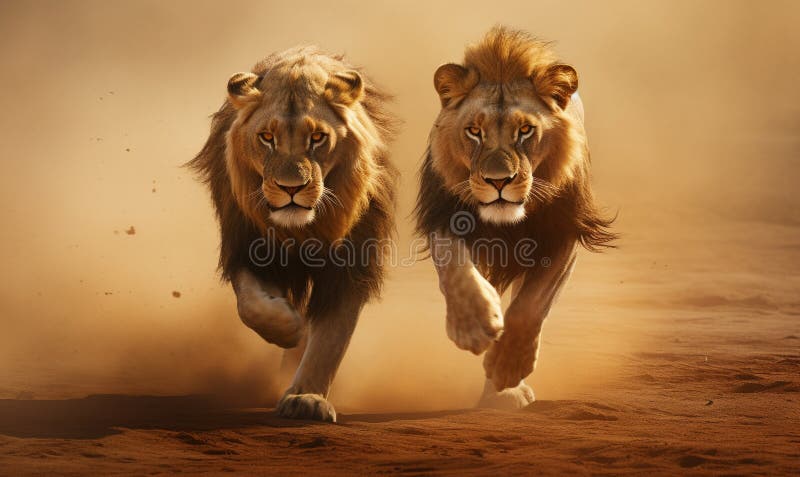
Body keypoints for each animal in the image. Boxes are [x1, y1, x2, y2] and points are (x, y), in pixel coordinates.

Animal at [189, 47, 397, 422]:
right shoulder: (246, 247)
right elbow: (252, 305)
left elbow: (331, 338)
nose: (290, 188)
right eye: (266, 137)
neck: (303, 231)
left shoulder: (350, 267)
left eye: (317, 138)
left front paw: (307, 398)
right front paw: (288, 326)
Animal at [414, 27, 616, 409]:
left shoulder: (563, 233)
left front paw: (508, 368)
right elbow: (456, 272)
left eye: (525, 131)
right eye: (473, 131)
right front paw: (472, 328)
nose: (498, 181)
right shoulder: (445, 215)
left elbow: (531, 306)